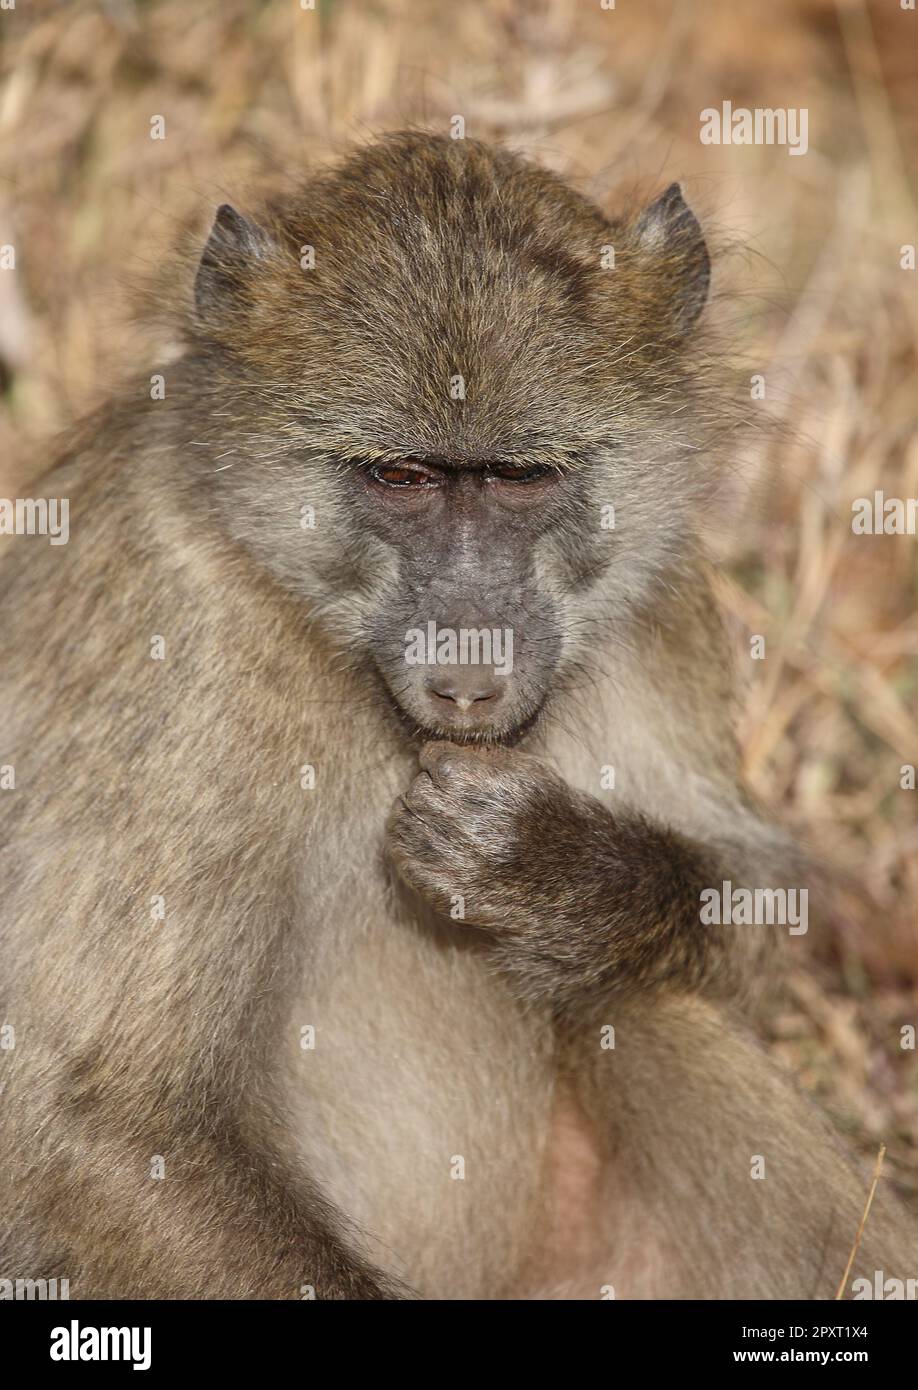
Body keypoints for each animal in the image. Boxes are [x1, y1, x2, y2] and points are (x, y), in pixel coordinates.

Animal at [0, 130, 915, 1300]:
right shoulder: (182, 635)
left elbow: (766, 906)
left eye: (521, 477)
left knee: (636, 1006)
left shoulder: (660, 593)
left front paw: (550, 868)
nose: (470, 676)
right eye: (401, 476)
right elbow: (95, 1116)